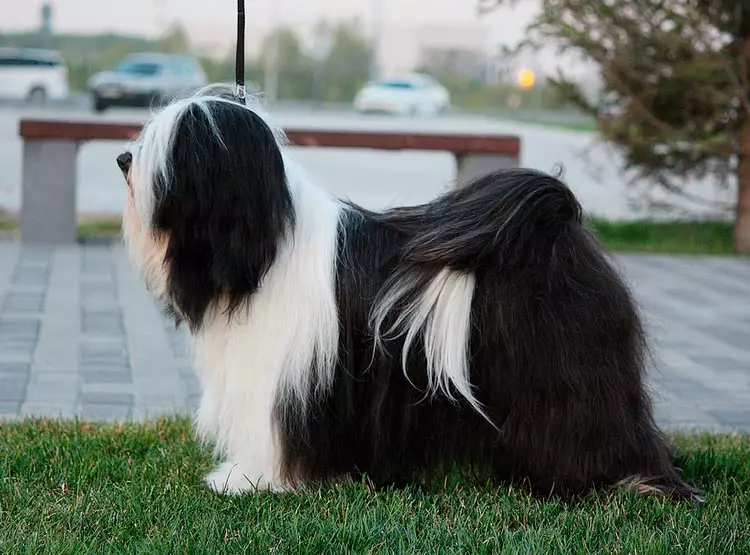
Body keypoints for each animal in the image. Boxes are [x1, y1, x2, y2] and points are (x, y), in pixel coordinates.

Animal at [116, 84, 700, 502]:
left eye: (176, 147)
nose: (123, 159)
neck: (267, 244)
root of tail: (558, 219)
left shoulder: (286, 379)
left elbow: (272, 434)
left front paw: (250, 481)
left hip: (564, 373)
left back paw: (629, 481)